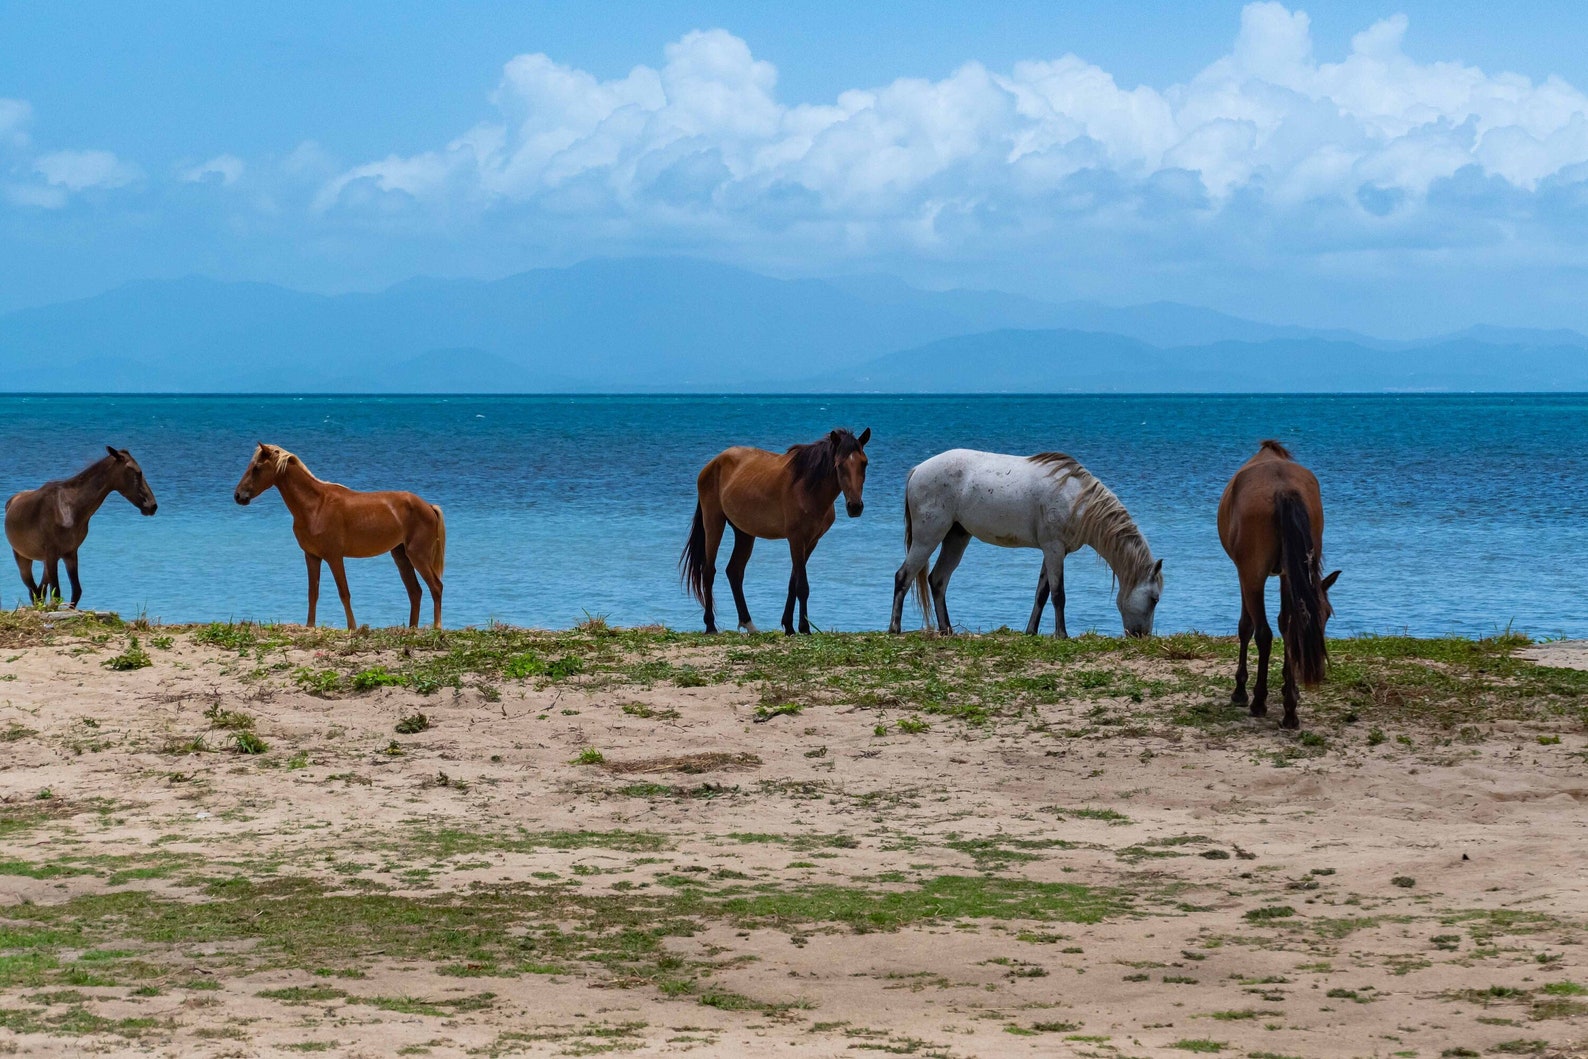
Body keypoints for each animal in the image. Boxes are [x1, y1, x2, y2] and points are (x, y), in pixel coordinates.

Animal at [5, 447, 158, 608]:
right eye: (137, 472)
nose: (152, 506)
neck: (71, 508)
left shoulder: (70, 553)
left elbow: (76, 591)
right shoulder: (52, 553)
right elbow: (56, 593)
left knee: (39, 590)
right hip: (23, 557)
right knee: (33, 589)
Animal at [233, 443, 446, 630]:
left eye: (256, 468)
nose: (238, 496)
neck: (315, 505)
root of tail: (428, 506)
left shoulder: (334, 557)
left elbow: (344, 592)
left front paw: (352, 627)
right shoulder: (312, 556)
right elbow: (313, 592)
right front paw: (310, 626)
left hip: (417, 555)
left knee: (436, 587)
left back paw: (437, 627)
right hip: (401, 556)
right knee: (415, 591)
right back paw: (412, 628)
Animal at [680, 428, 870, 635]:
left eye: (864, 463)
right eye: (839, 465)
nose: (855, 507)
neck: (807, 487)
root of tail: (713, 463)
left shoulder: (811, 541)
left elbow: (793, 583)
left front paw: (789, 626)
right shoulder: (796, 539)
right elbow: (802, 586)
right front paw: (804, 628)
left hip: (744, 532)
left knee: (734, 571)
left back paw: (749, 624)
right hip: (714, 521)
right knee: (709, 571)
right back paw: (710, 626)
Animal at [889, 449, 1162, 638]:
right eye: (1154, 599)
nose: (1142, 636)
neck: (1077, 500)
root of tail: (918, 470)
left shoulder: (1052, 551)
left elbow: (1041, 593)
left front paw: (1031, 631)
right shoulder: (1054, 548)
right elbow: (1058, 594)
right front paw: (1061, 635)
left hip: (956, 538)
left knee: (937, 580)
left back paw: (947, 630)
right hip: (928, 537)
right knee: (903, 576)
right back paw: (895, 628)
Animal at [1217, 440, 1340, 729]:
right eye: (1326, 615)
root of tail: (1283, 489)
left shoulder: (1245, 573)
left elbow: (1246, 626)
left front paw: (1241, 690)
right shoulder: (1287, 574)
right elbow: (1287, 623)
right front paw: (1289, 689)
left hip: (1253, 573)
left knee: (1263, 632)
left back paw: (1258, 701)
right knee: (1290, 624)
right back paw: (1290, 711)